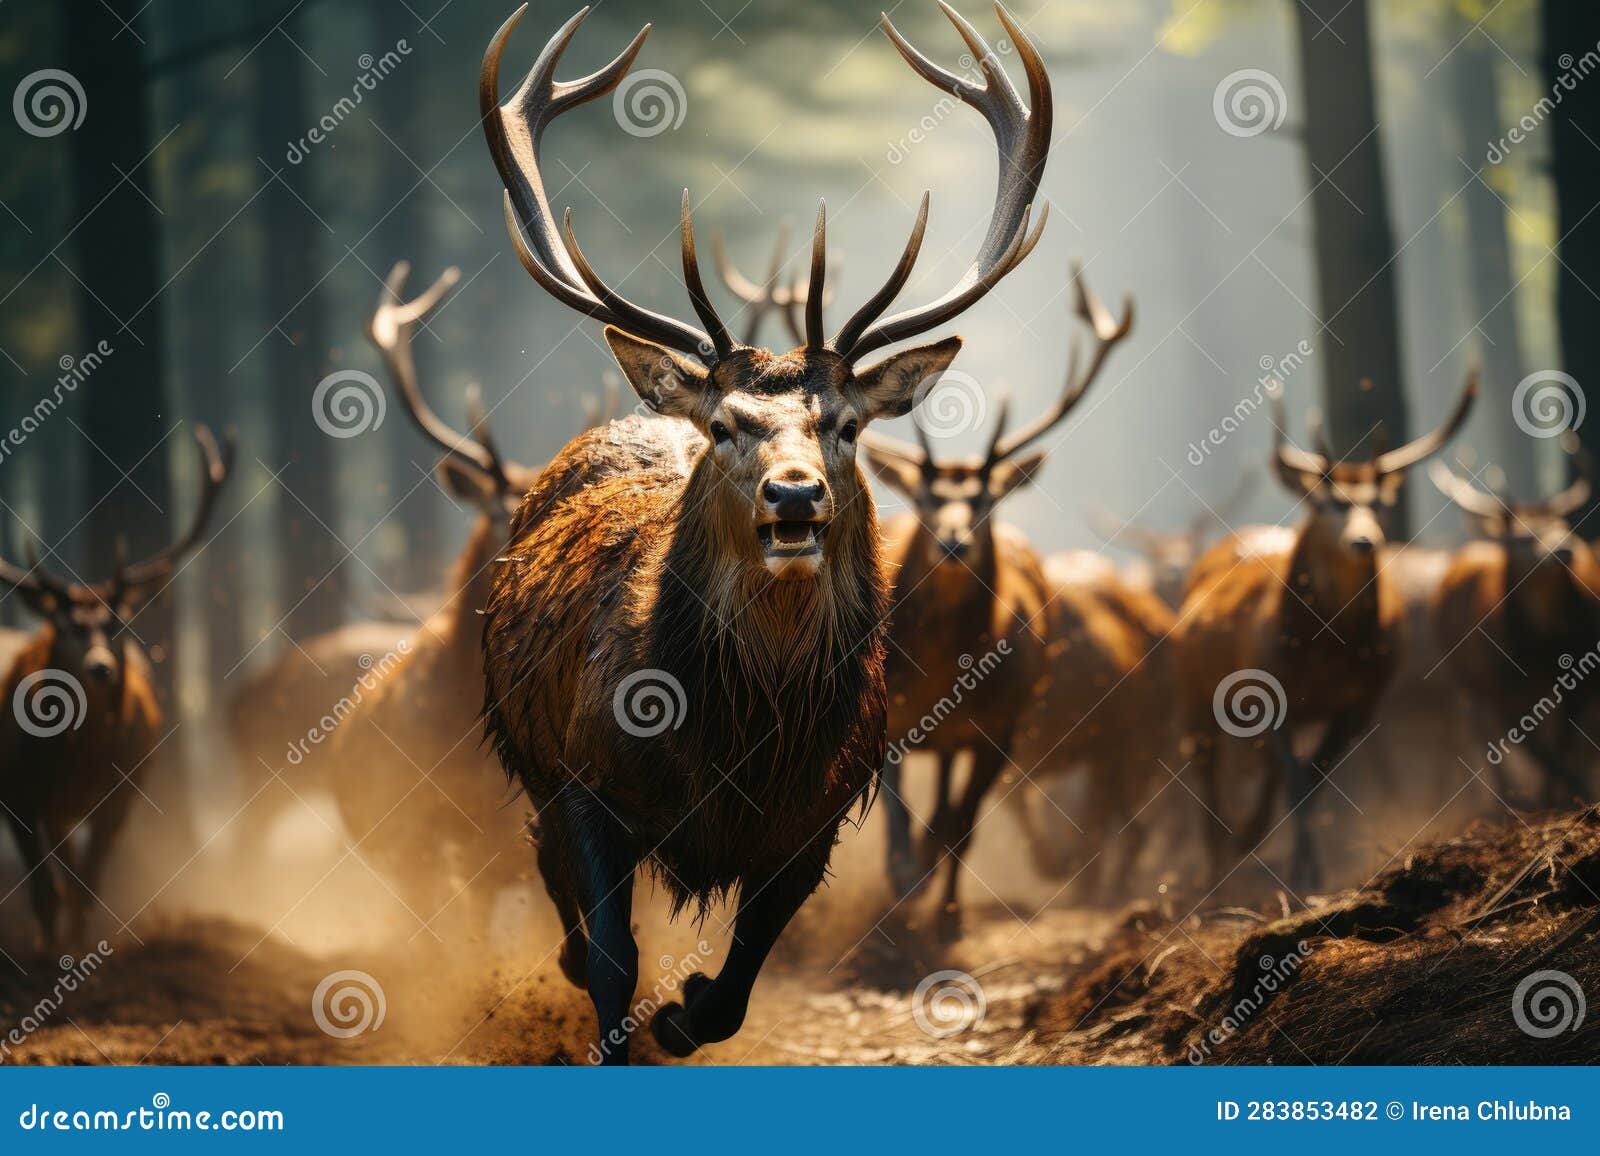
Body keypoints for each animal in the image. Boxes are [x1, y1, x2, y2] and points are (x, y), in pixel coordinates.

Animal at [0, 427, 232, 945]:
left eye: (118, 624)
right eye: (66, 627)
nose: (101, 667)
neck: (80, 757)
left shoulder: (118, 798)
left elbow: (86, 886)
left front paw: (78, 947)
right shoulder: (20, 793)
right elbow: (45, 893)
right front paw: (50, 954)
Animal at [477, 1, 1051, 1062]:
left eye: (847, 425)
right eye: (726, 425)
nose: (794, 496)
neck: (734, 738)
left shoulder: (817, 815)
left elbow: (737, 989)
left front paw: (685, 1005)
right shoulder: (586, 783)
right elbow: (611, 960)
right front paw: (624, 1009)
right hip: (519, 745)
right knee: (552, 887)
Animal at [858, 264, 1132, 936]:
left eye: (986, 500)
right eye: (926, 497)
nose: (954, 541)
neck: (937, 670)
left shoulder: (1001, 730)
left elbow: (961, 825)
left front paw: (944, 909)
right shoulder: (889, 709)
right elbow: (896, 808)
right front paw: (902, 876)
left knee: (956, 813)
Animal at [1172, 375, 1476, 894]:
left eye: (1379, 503)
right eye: (1330, 504)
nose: (1365, 540)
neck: (1328, 651)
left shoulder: (1361, 703)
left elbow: (1311, 782)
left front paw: (1303, 867)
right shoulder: (1266, 693)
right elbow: (1296, 783)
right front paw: (1301, 874)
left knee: (1267, 770)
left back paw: (1246, 837)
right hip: (1192, 689)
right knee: (1206, 766)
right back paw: (1217, 861)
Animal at [1429, 441, 1600, 810]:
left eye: (1562, 524)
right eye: (1522, 536)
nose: (1564, 550)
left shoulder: (1580, 681)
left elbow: (1563, 741)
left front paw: (1566, 794)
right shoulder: (1498, 689)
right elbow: (1533, 746)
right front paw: (1555, 797)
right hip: (1466, 683)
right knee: (1481, 732)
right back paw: (1502, 801)